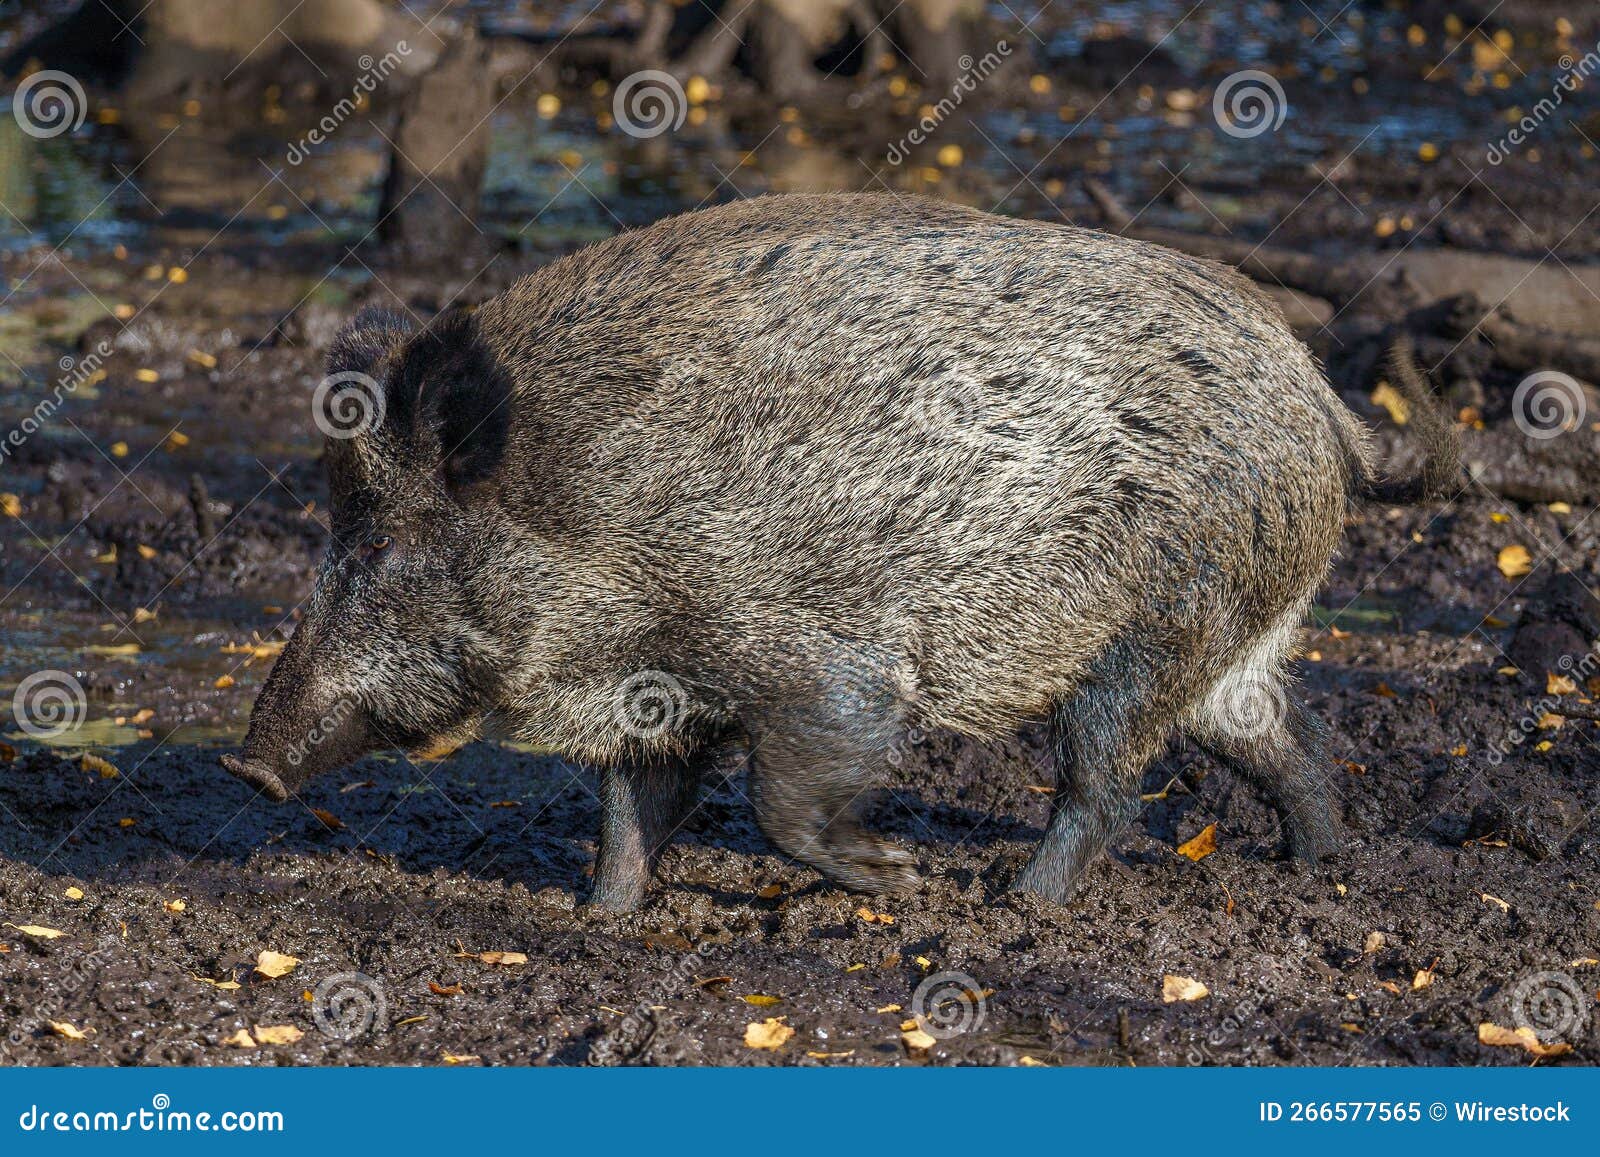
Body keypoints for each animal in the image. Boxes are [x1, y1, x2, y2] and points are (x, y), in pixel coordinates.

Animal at [221, 192, 1459, 910]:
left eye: (382, 543)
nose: (246, 765)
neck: (588, 511)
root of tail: (1321, 401)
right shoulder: (654, 692)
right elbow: (631, 810)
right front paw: (598, 920)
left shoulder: (819, 659)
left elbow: (780, 795)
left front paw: (900, 879)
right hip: (1222, 637)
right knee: (1284, 739)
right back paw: (1318, 865)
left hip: (1147, 627)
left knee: (1106, 782)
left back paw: (1011, 906)